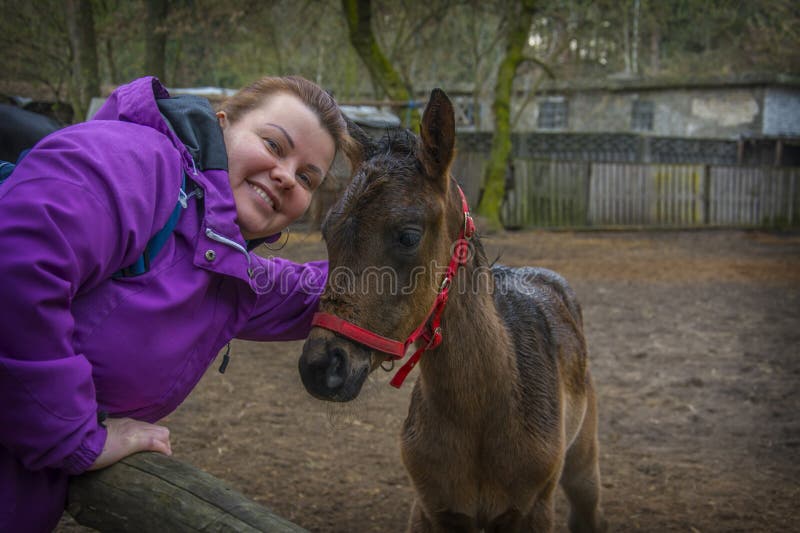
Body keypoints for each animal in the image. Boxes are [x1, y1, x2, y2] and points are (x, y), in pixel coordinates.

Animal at [298, 89, 607, 532]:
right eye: (327, 232)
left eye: (408, 236)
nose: (321, 366)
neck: (482, 411)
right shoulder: (433, 510)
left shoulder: (532, 510)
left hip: (582, 466)